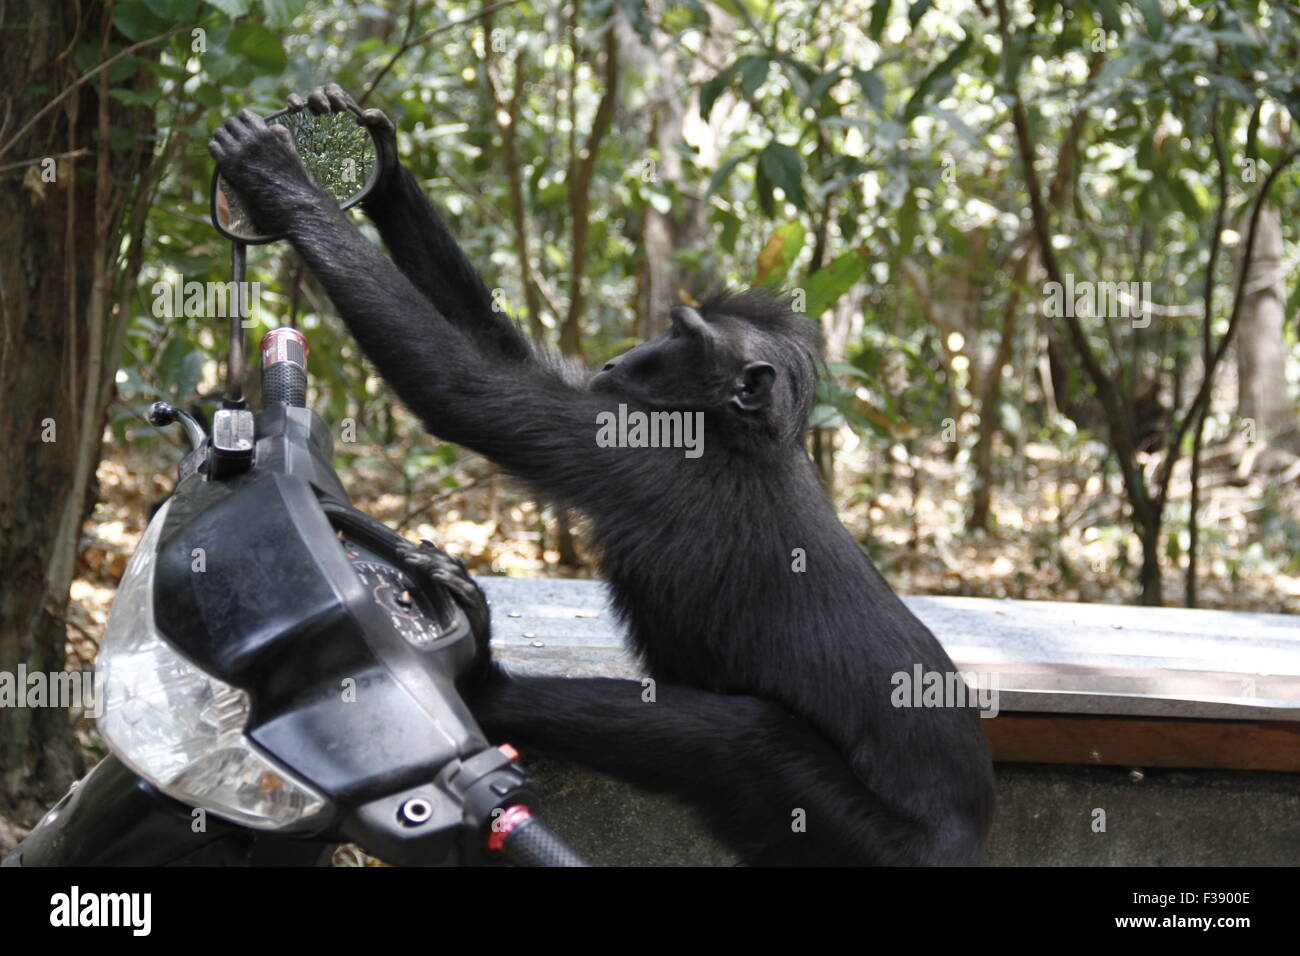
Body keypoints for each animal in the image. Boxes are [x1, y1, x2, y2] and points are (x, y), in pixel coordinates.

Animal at [207, 84, 994, 865]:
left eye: (680, 335)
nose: (620, 357)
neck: (738, 434)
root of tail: (964, 835)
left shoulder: (640, 453)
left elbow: (463, 388)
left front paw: (282, 179)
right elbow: (500, 347)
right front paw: (382, 160)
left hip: (863, 835)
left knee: (748, 738)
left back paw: (487, 685)